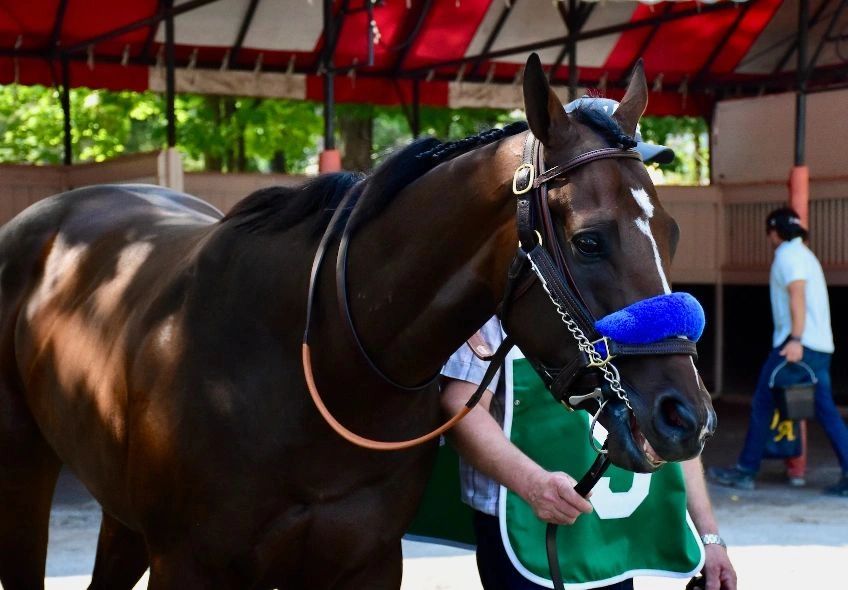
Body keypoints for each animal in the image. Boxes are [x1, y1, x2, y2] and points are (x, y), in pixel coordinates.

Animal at [0, 53, 715, 589]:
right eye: (590, 240)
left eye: (674, 232)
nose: (686, 416)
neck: (319, 366)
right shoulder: (188, 564)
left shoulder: (365, 562)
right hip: (27, 468)